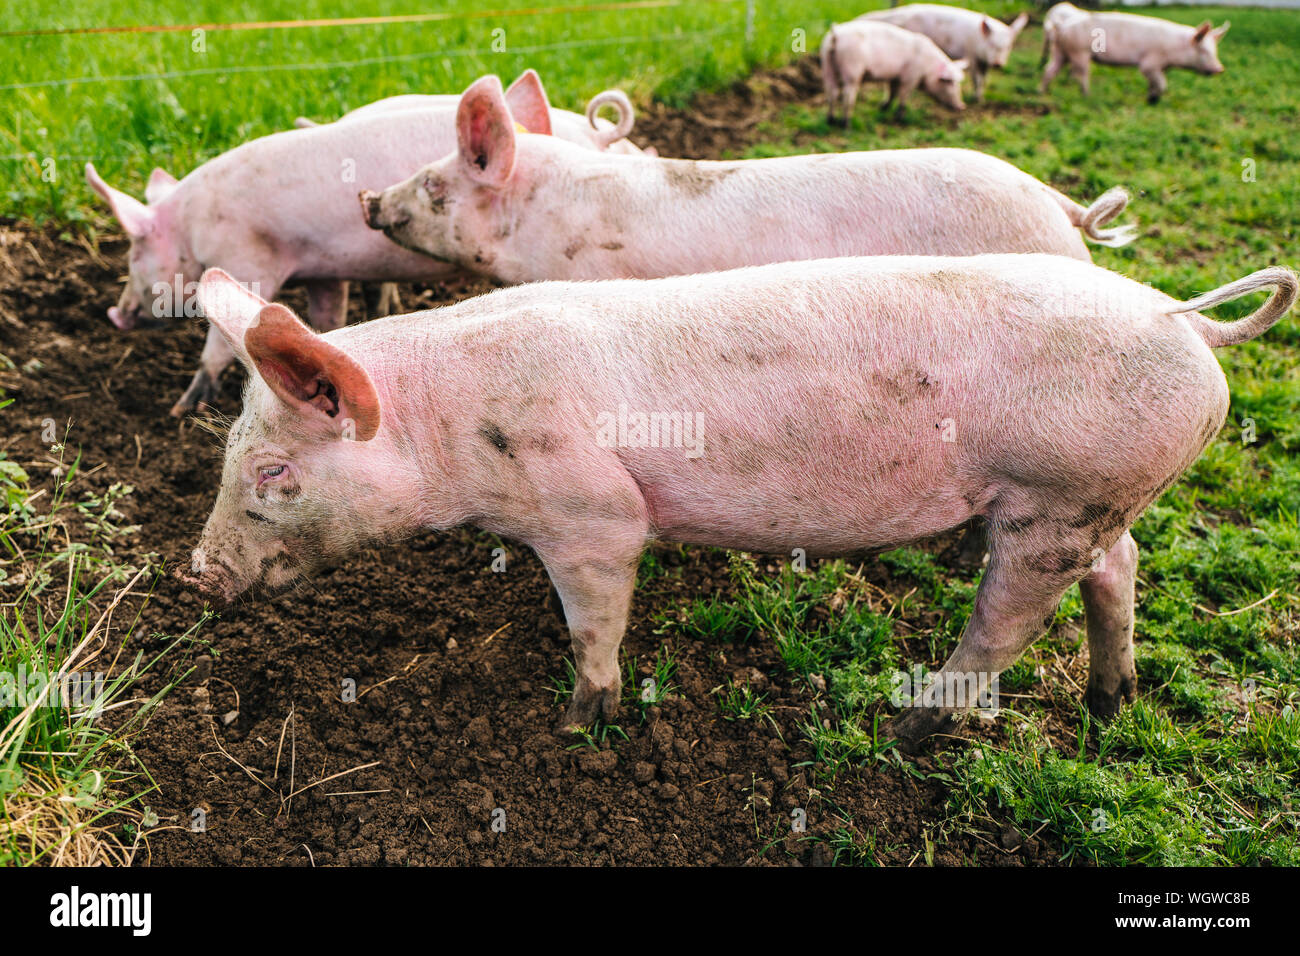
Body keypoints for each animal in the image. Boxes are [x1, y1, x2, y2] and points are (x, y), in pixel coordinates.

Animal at [84, 70, 641, 417]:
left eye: (134, 250)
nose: (116, 313)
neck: (193, 226)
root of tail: (605, 140)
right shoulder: (325, 272)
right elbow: (326, 317)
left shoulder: (248, 260)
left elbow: (218, 344)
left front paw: (181, 409)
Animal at [181, 256, 1297, 748]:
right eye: (231, 453)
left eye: (272, 472)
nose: (196, 573)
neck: (452, 429)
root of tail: (1185, 319)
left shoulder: (593, 515)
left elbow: (594, 621)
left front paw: (576, 724)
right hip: (1094, 501)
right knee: (1121, 568)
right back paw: (1110, 703)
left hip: (1057, 497)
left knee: (1009, 622)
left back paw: (908, 728)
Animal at [820, 20, 968, 121]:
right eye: (950, 82)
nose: (962, 106)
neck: (928, 67)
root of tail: (835, 34)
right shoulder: (910, 77)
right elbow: (903, 96)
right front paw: (900, 118)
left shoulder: (895, 77)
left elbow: (892, 92)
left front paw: (882, 107)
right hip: (852, 69)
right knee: (847, 96)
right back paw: (846, 125)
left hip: (827, 63)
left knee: (831, 92)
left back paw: (831, 120)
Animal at [859, 5, 1030, 104]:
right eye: (992, 44)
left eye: (1008, 46)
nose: (998, 64)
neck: (979, 40)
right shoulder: (972, 56)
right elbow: (976, 79)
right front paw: (976, 100)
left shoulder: (983, 62)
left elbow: (983, 79)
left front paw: (981, 99)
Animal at [1041, 3, 1229, 103]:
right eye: (1203, 49)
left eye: (1215, 49)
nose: (1220, 69)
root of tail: (1062, 26)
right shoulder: (1149, 64)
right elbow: (1162, 84)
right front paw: (1153, 100)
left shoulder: (1161, 67)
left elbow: (1155, 84)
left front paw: (1150, 99)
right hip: (1079, 52)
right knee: (1081, 75)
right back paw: (1088, 97)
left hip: (1061, 51)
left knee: (1050, 70)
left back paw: (1043, 93)